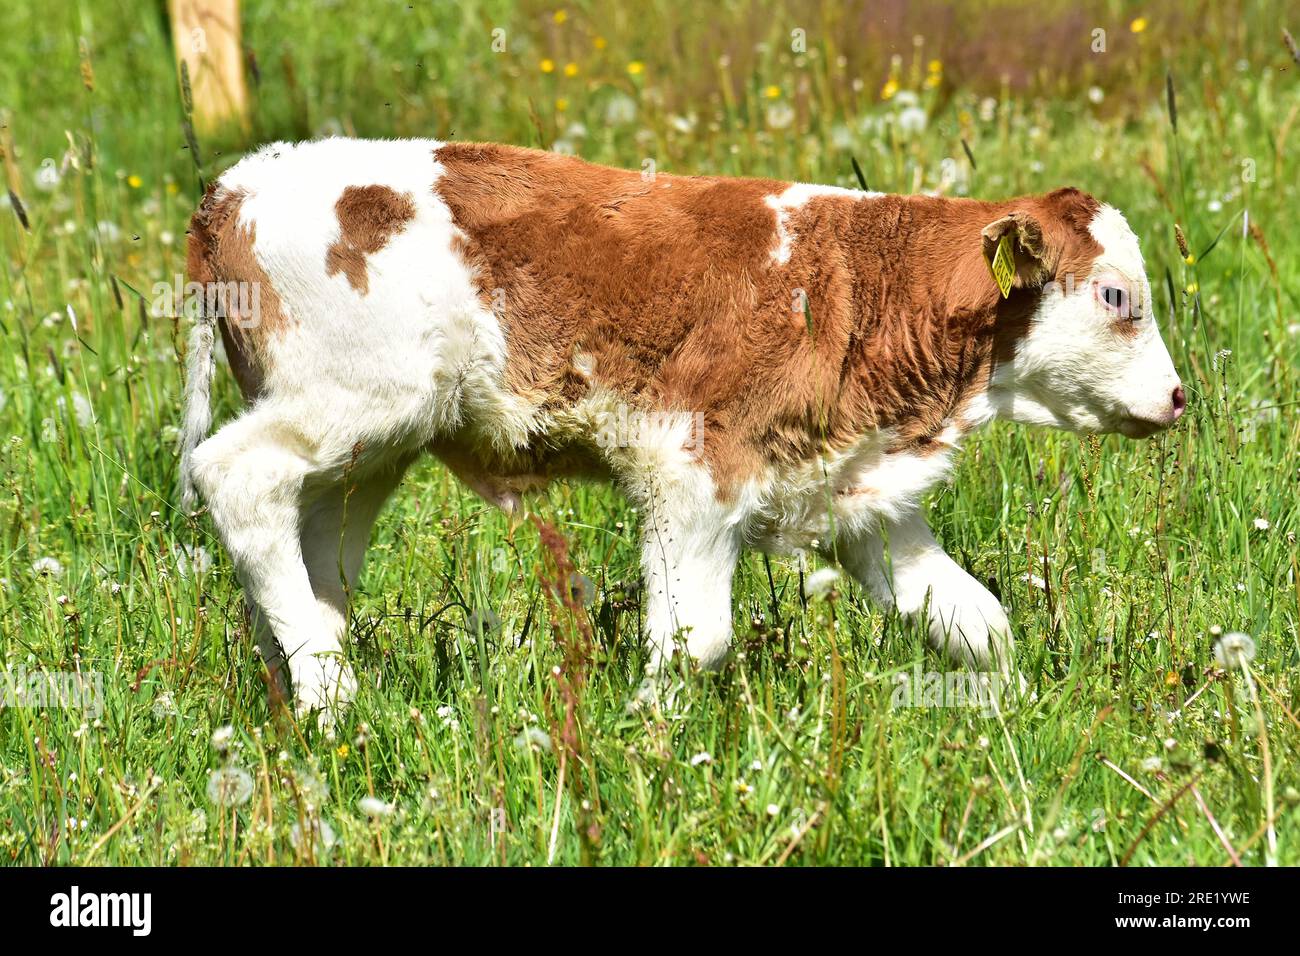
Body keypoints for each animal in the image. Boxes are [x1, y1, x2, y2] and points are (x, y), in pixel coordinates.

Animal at [180, 138, 1185, 720]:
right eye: (1115, 296)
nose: (1179, 397)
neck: (863, 283)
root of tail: (237, 182)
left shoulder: (854, 488)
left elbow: (975, 617)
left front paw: (1007, 715)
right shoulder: (693, 469)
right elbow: (692, 638)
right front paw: (647, 741)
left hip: (369, 449)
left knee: (318, 548)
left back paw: (309, 693)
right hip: (360, 401)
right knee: (237, 477)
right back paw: (333, 694)